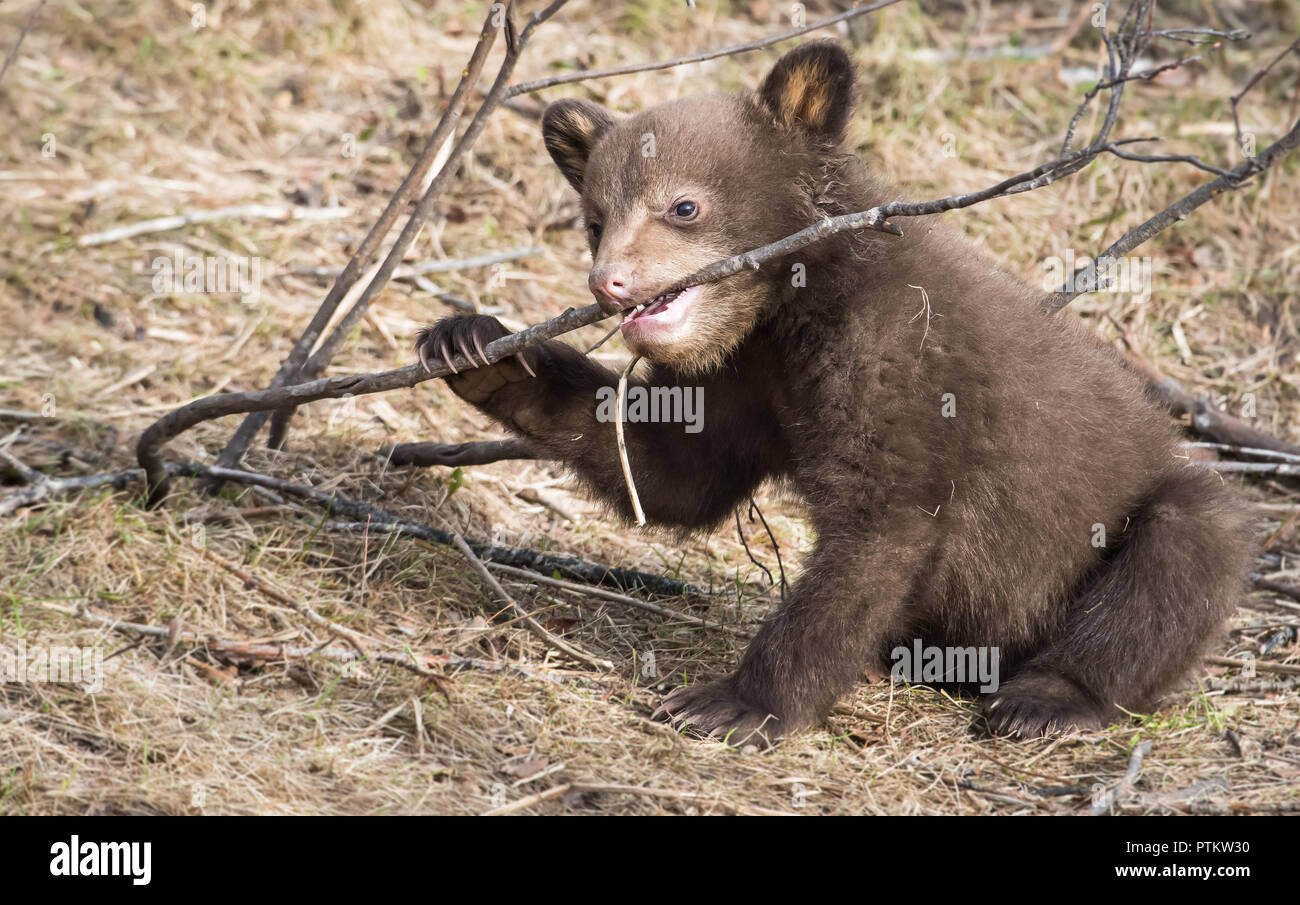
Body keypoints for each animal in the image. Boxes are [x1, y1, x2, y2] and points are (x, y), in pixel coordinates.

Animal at [412, 40, 1253, 745]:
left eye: (682, 205)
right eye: (593, 220)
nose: (609, 283)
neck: (785, 315)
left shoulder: (897, 362)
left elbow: (880, 523)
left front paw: (732, 700)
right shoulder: (740, 378)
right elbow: (673, 472)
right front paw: (472, 344)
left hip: (1140, 521)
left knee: (1174, 562)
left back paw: (1041, 697)